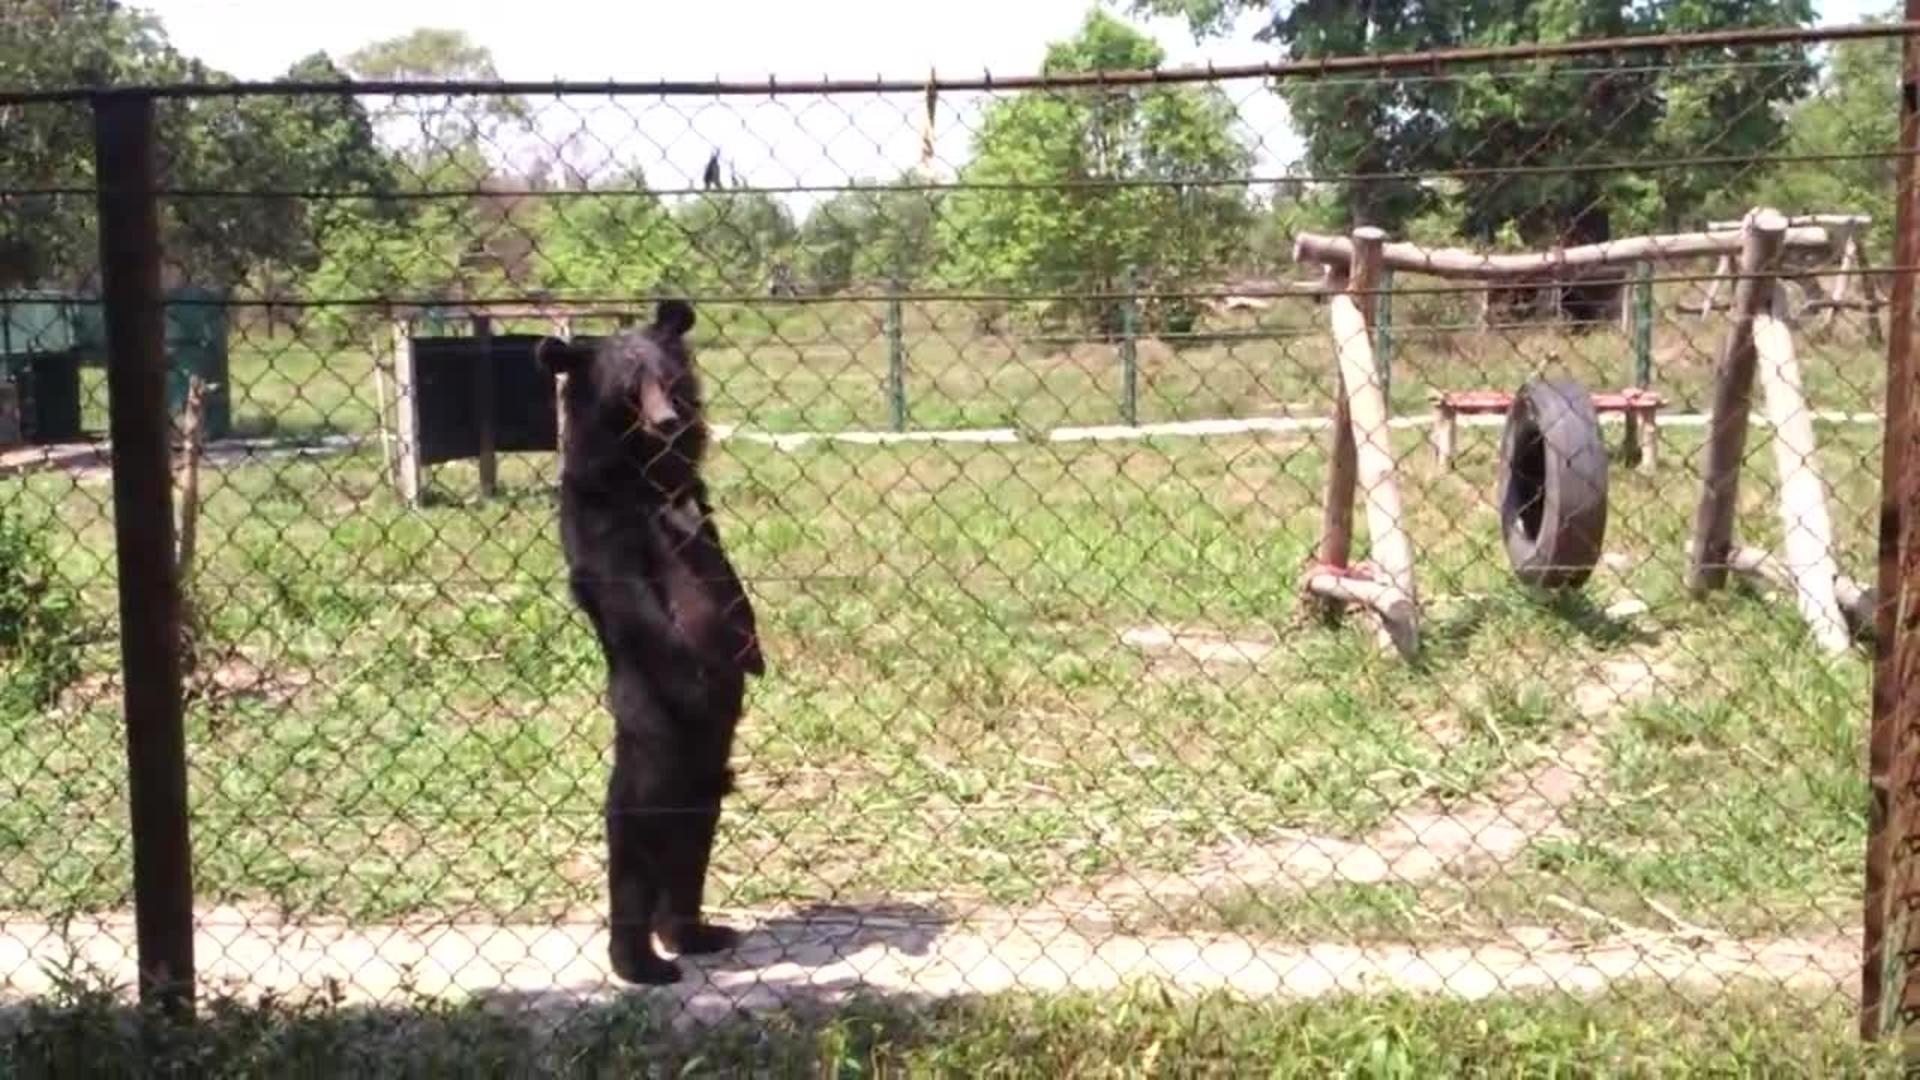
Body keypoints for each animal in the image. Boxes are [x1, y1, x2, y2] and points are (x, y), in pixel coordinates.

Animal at [536, 298, 763, 986]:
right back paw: (641, 963)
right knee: (635, 827)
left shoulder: (699, 509)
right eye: (629, 390)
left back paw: (695, 933)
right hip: (655, 737)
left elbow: (730, 589)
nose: (667, 421)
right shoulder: (602, 520)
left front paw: (756, 654)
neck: (648, 476)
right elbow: (639, 607)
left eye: (670, 379)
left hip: (708, 764)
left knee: (697, 825)